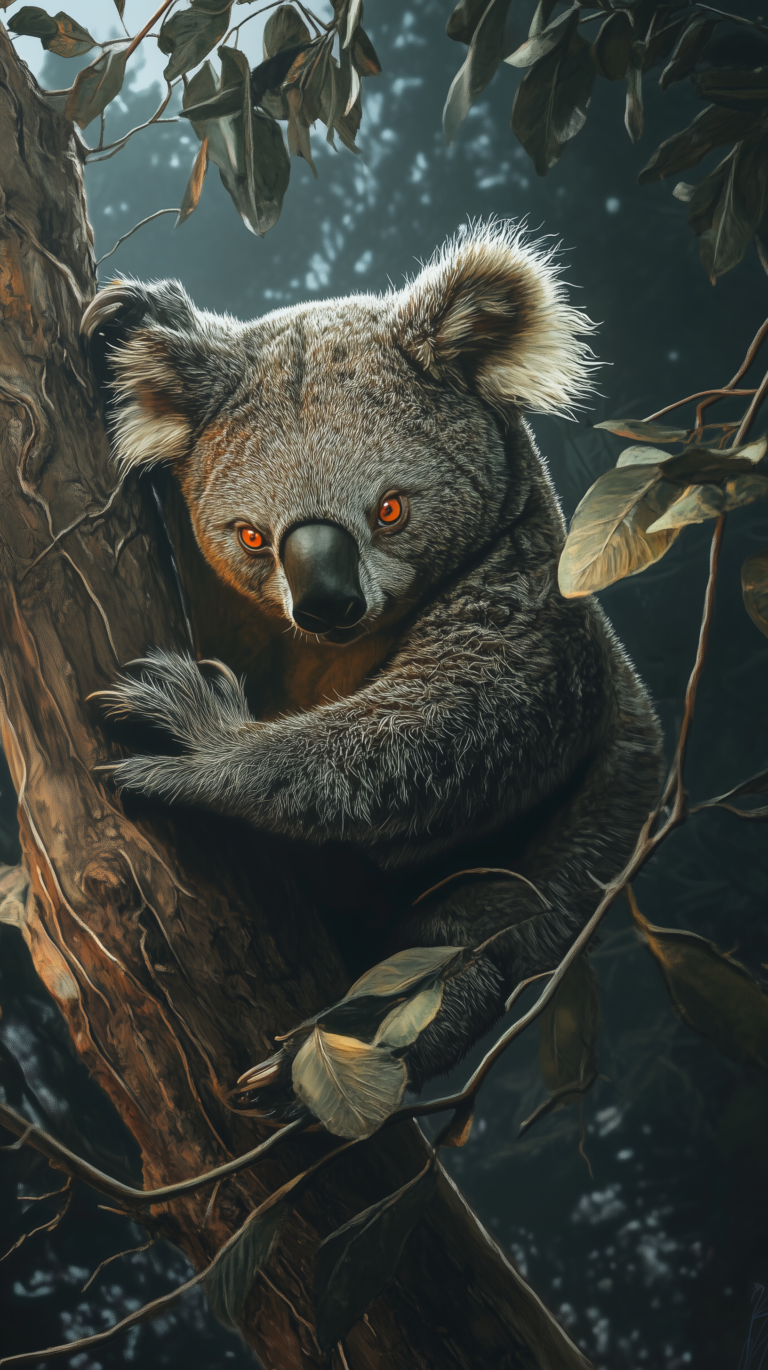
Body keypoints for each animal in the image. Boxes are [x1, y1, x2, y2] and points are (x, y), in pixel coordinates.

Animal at [81, 223, 663, 1127]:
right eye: (252, 536)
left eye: (390, 508)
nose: (327, 602)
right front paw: (138, 314)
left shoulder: (529, 594)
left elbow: (442, 735)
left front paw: (192, 737)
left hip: (583, 842)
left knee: (483, 942)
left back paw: (341, 1046)